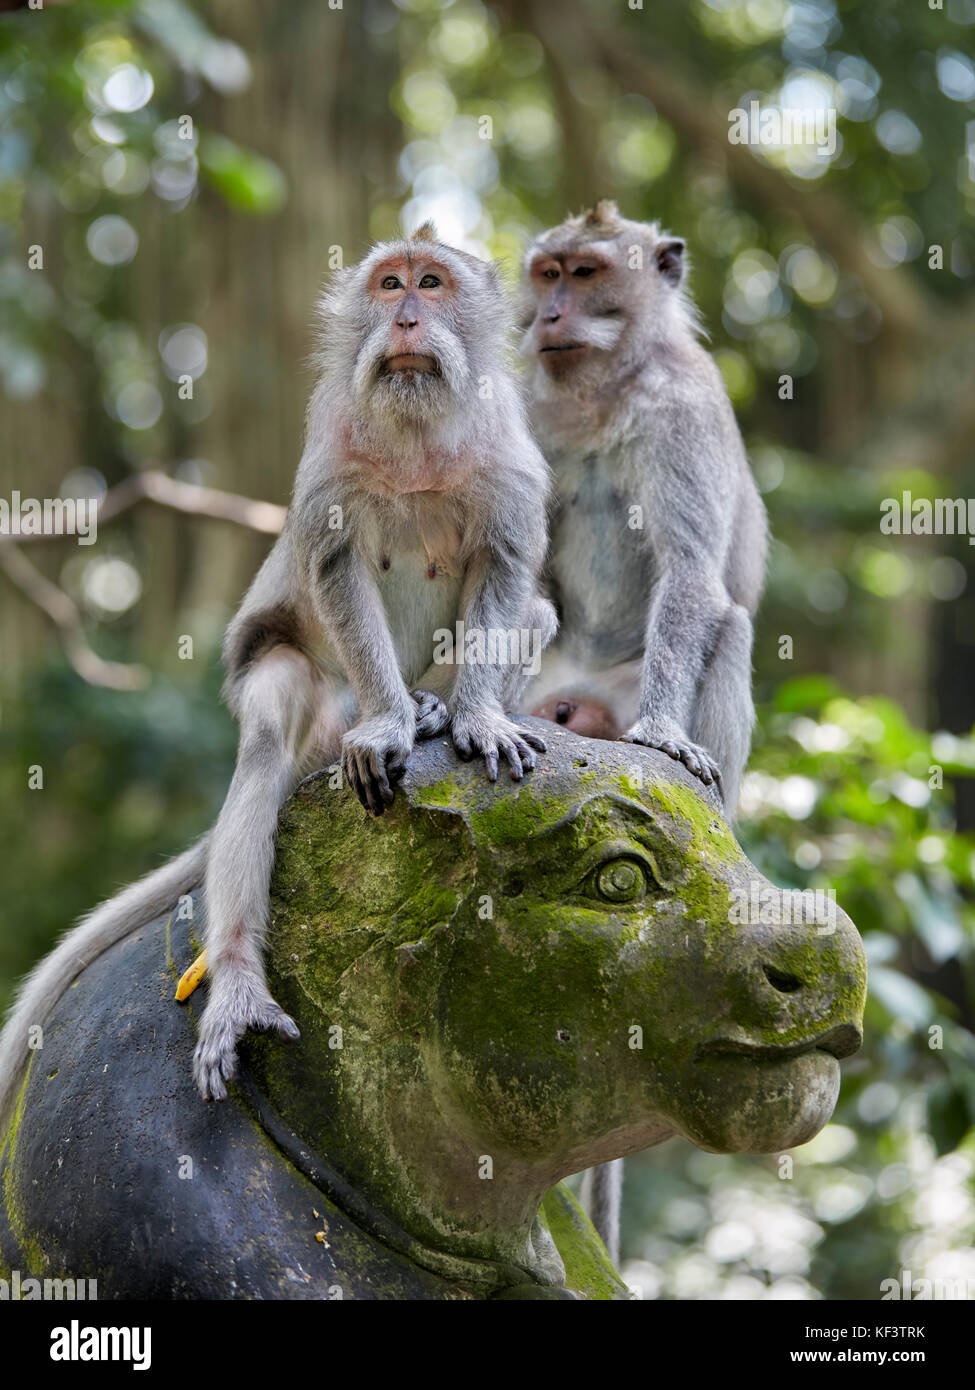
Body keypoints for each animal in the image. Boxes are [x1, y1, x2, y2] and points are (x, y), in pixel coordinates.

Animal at [0, 225, 555, 1118]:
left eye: (432, 283)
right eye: (389, 283)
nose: (405, 318)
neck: (416, 435)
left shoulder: (506, 450)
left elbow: (507, 571)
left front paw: (473, 718)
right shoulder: (329, 438)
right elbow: (335, 568)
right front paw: (390, 724)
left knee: (534, 615)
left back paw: (435, 708)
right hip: (313, 718)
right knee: (269, 729)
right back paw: (235, 976)